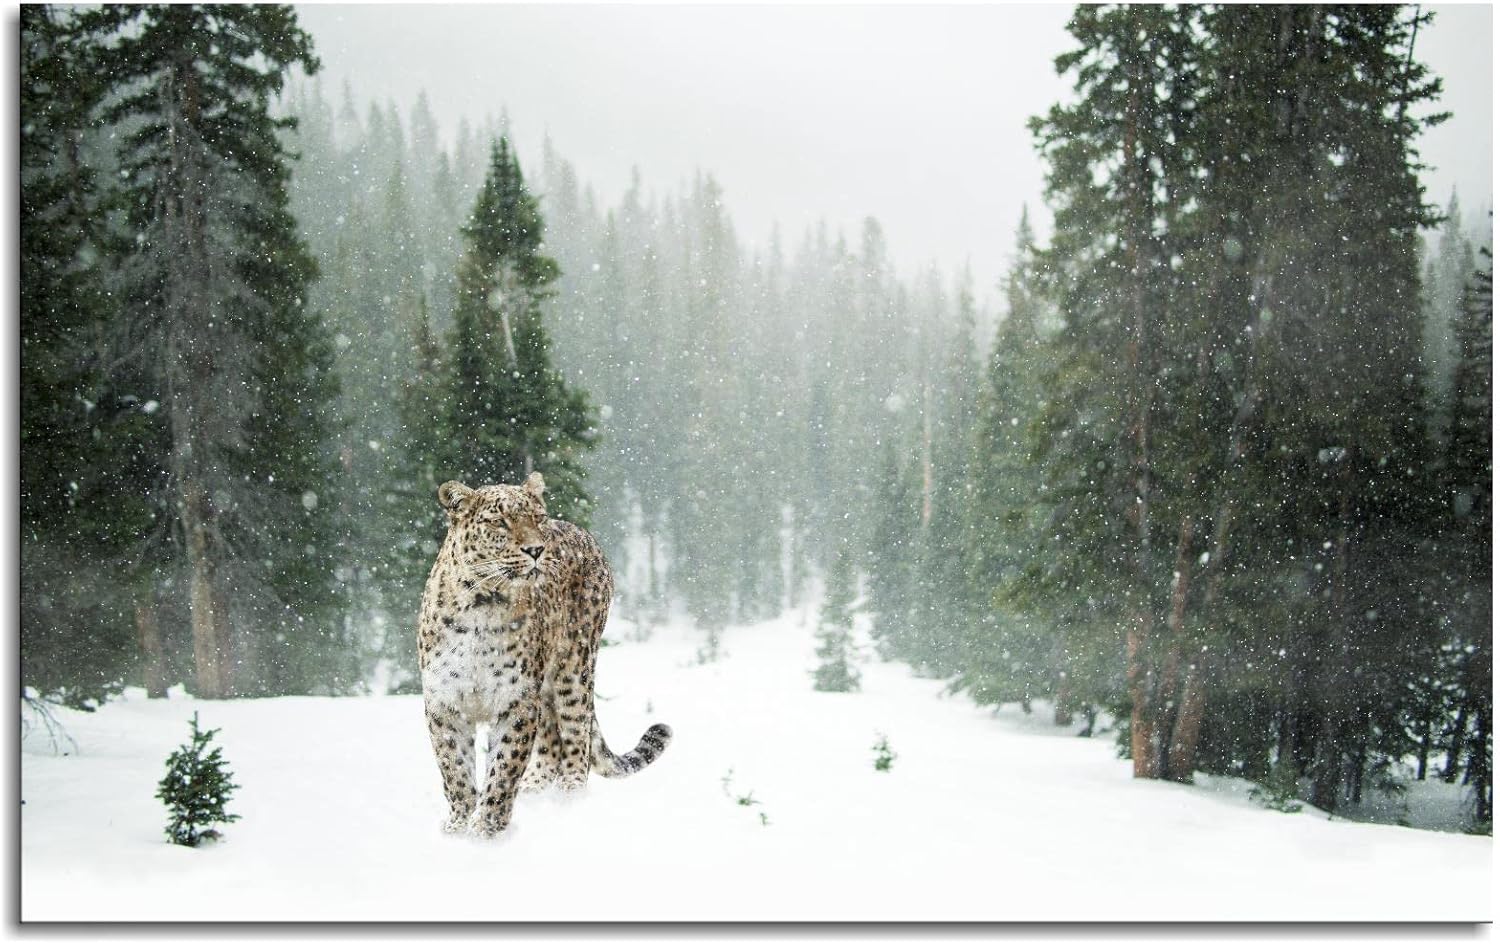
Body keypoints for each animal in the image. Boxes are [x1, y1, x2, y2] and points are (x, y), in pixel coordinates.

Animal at [417, 472, 672, 837]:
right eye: (500, 522)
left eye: (537, 518)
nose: (536, 549)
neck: (482, 604)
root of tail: (583, 532)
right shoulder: (445, 702)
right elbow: (455, 770)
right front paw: (458, 826)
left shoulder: (517, 700)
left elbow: (504, 768)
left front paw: (487, 829)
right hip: (549, 686)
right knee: (551, 738)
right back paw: (535, 789)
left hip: (574, 668)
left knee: (576, 735)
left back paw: (569, 797)